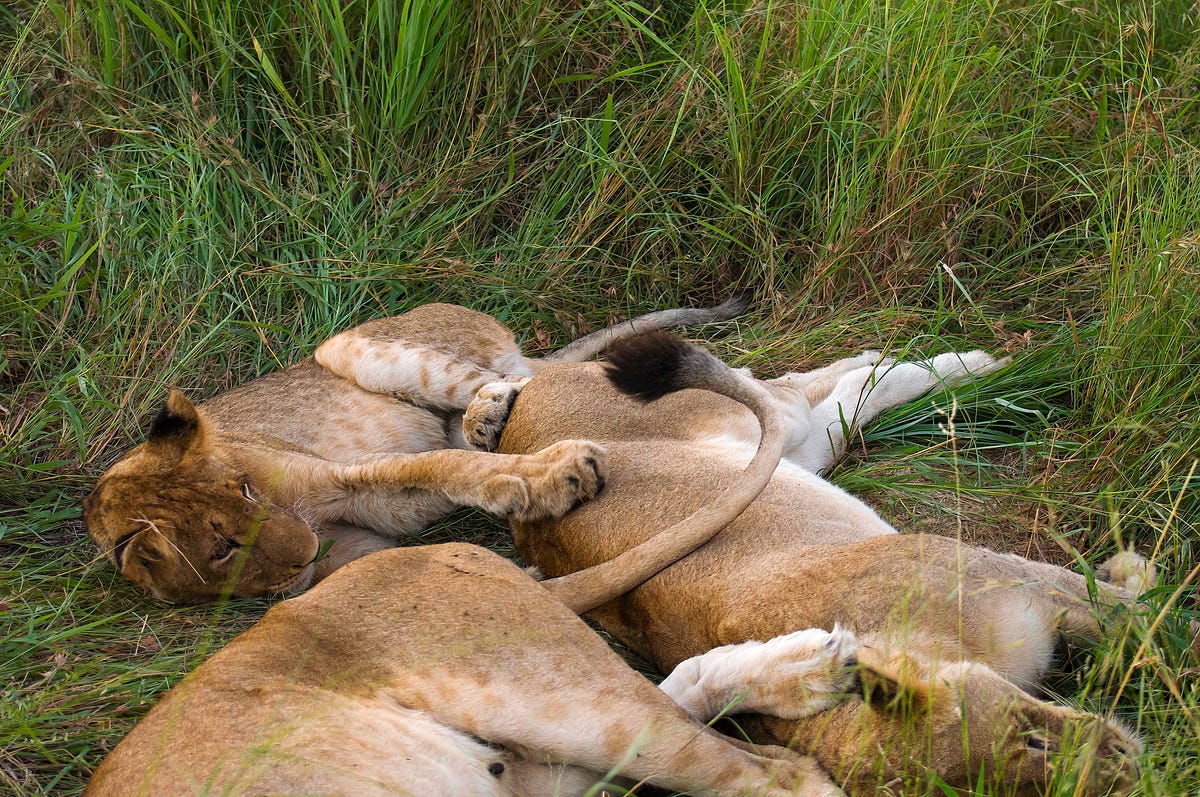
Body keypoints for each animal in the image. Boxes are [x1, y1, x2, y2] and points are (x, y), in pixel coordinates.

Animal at [83, 299, 746, 603]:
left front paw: (550, 476)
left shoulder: (344, 474)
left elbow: (444, 466)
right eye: (223, 550)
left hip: (351, 347)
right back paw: (487, 424)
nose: (306, 549)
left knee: (514, 381)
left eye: (246, 487)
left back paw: (490, 413)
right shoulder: (353, 550)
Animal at [476, 332, 1151, 796]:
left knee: (799, 387)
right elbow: (1130, 621)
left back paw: (970, 364)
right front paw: (1136, 580)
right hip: (789, 444)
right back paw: (957, 366)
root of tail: (524, 411)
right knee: (834, 401)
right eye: (1033, 748)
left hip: (757, 425)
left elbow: (1137, 621)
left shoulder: (1012, 574)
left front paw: (1136, 580)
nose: (1128, 758)